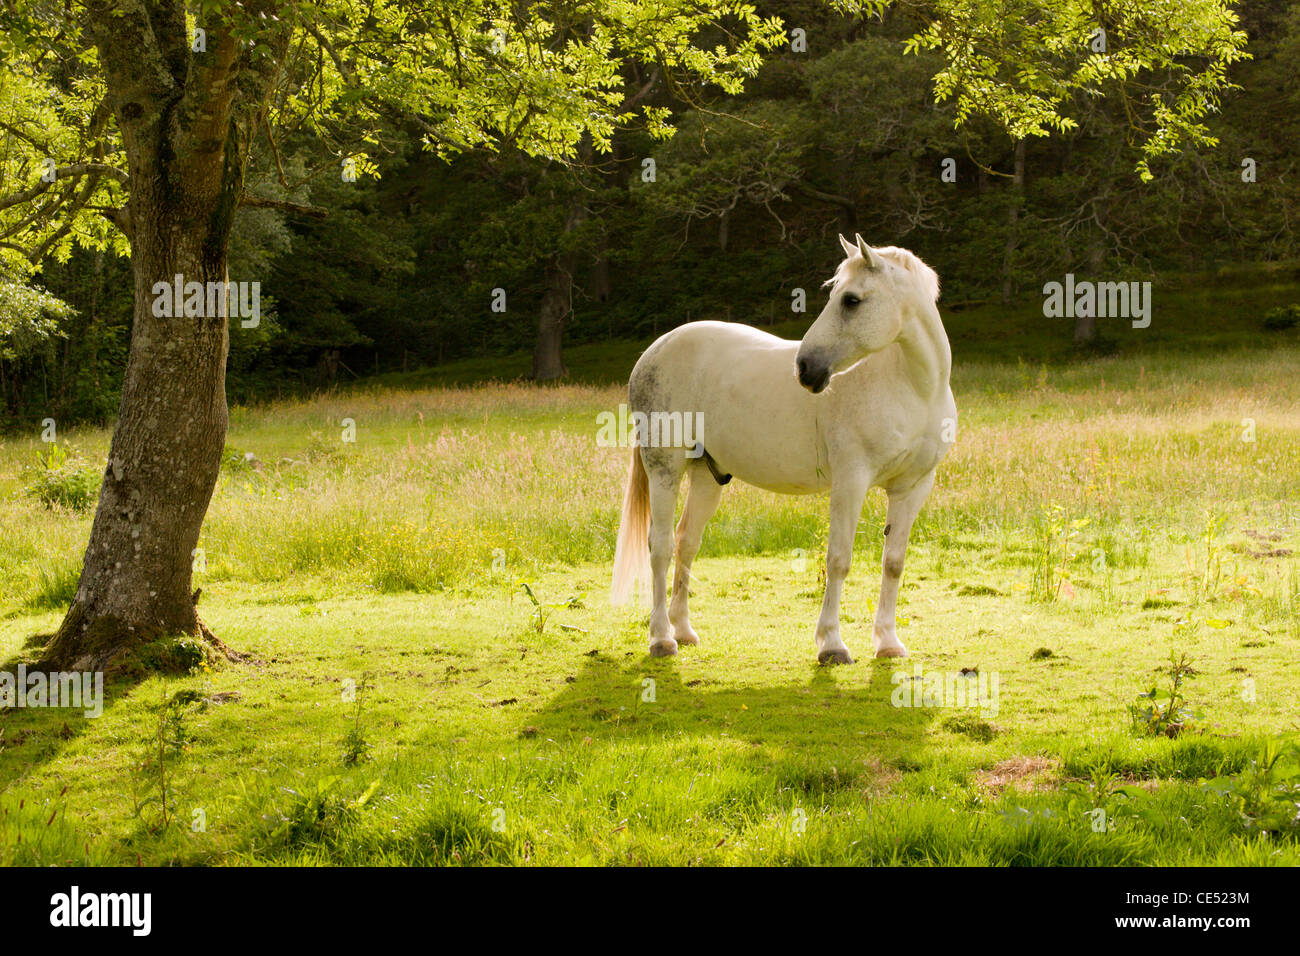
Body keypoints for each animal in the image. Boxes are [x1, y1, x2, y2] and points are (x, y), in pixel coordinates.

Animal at [609, 234, 956, 664]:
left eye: (852, 300)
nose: (805, 368)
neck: (914, 389)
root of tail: (656, 349)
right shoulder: (851, 483)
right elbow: (838, 559)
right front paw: (832, 644)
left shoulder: (912, 488)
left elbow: (893, 562)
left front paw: (888, 643)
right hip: (664, 470)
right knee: (658, 546)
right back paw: (661, 638)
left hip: (706, 475)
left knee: (685, 542)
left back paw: (684, 630)